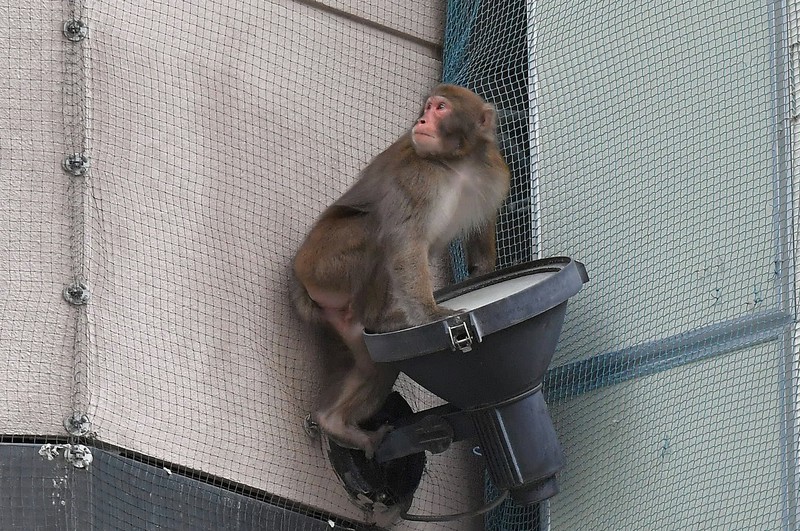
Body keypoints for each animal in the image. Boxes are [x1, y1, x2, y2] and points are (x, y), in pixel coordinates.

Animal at [292, 84, 510, 458]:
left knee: (373, 364)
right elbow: (406, 243)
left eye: (440, 108)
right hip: (324, 266)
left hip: (341, 316)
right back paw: (383, 320)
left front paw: (483, 274)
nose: (421, 120)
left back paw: (334, 423)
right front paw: (432, 315)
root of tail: (300, 278)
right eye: (428, 107)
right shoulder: (417, 176)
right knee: (379, 234)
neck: (456, 164)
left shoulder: (492, 171)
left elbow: (481, 231)